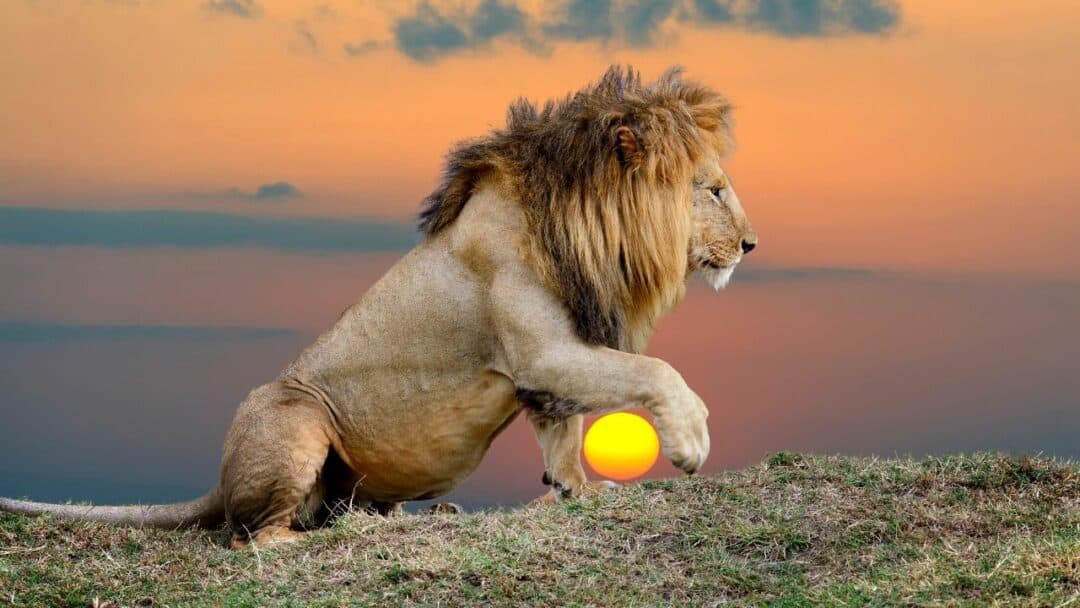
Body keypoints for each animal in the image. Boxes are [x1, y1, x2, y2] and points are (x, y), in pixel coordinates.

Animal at [0, 66, 756, 548]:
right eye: (714, 189)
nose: (752, 244)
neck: (586, 230)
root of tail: (217, 482)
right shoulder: (544, 351)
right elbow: (655, 373)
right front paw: (689, 442)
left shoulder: (549, 364)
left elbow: (562, 433)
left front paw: (578, 491)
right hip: (295, 415)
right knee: (256, 538)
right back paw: (339, 533)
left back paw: (410, 517)